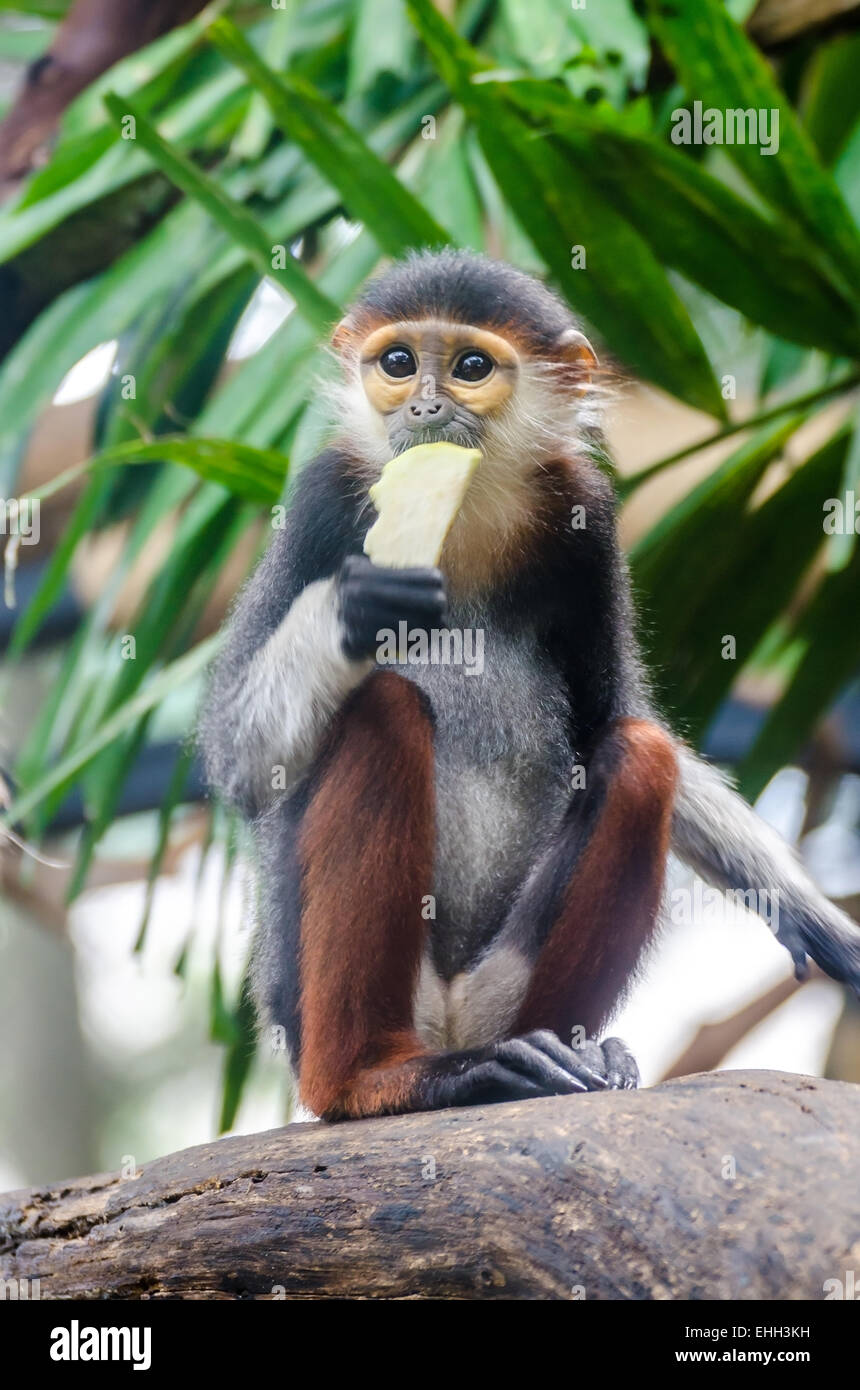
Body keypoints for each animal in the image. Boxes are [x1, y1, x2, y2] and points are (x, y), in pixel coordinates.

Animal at [201, 249, 860, 1122]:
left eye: (471, 367)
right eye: (399, 362)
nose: (426, 404)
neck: (464, 512)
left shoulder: (585, 514)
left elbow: (615, 718)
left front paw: (808, 913)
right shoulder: (321, 499)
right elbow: (240, 763)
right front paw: (359, 602)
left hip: (499, 985)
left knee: (640, 753)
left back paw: (562, 1057)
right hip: (322, 1013)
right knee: (382, 708)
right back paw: (378, 1079)